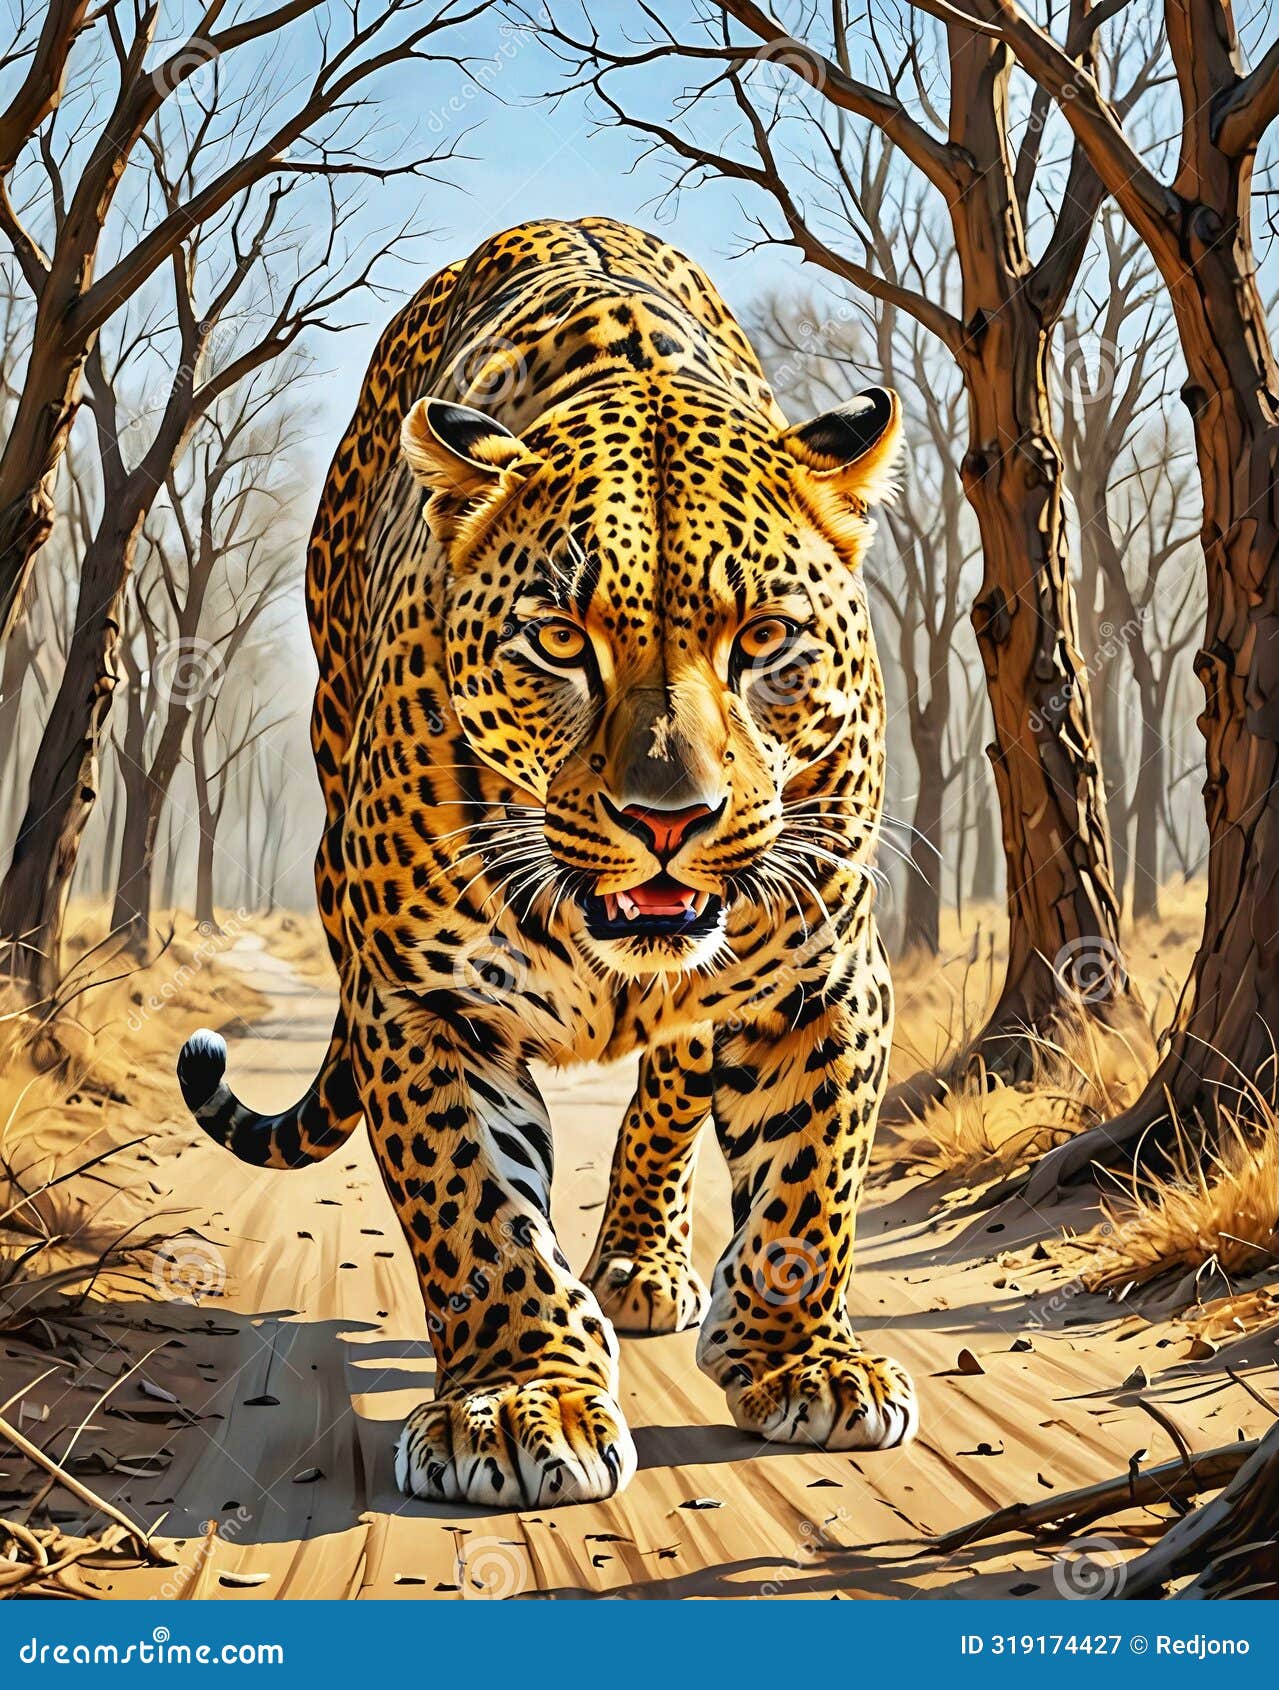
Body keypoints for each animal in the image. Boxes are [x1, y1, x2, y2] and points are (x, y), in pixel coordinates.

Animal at [177, 216, 917, 1510]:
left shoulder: (827, 976)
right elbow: (473, 1205)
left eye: (764, 638)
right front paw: (520, 1400)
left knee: (672, 1084)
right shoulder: (420, 998)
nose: (669, 816)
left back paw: (641, 1260)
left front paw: (801, 1361)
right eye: (561, 641)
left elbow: (809, 1177)